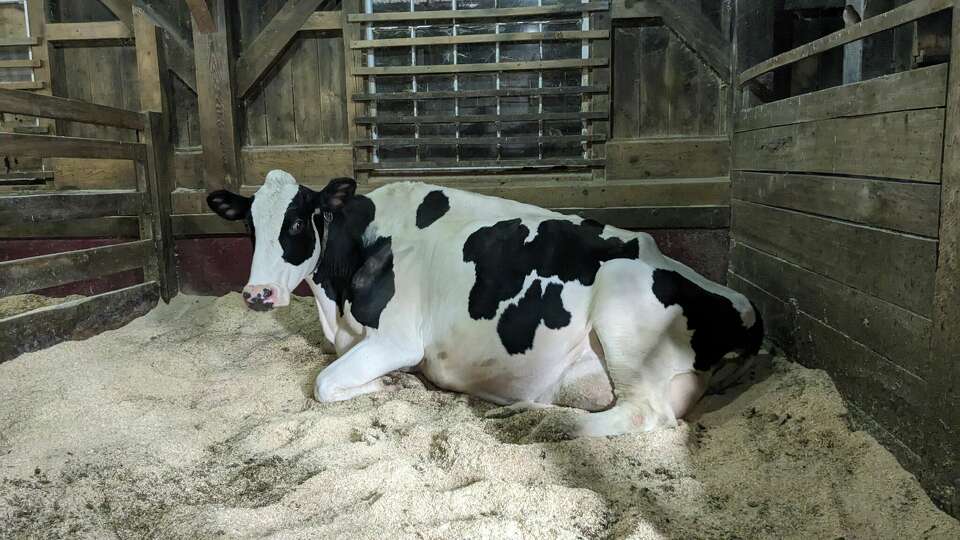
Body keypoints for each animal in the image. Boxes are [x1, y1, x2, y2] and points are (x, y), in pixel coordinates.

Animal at [206, 170, 763, 437]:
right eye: (249, 225)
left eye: (299, 222)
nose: (257, 293)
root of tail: (743, 304)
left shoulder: (399, 340)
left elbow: (322, 384)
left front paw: (385, 385)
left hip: (623, 308)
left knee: (643, 413)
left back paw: (546, 424)